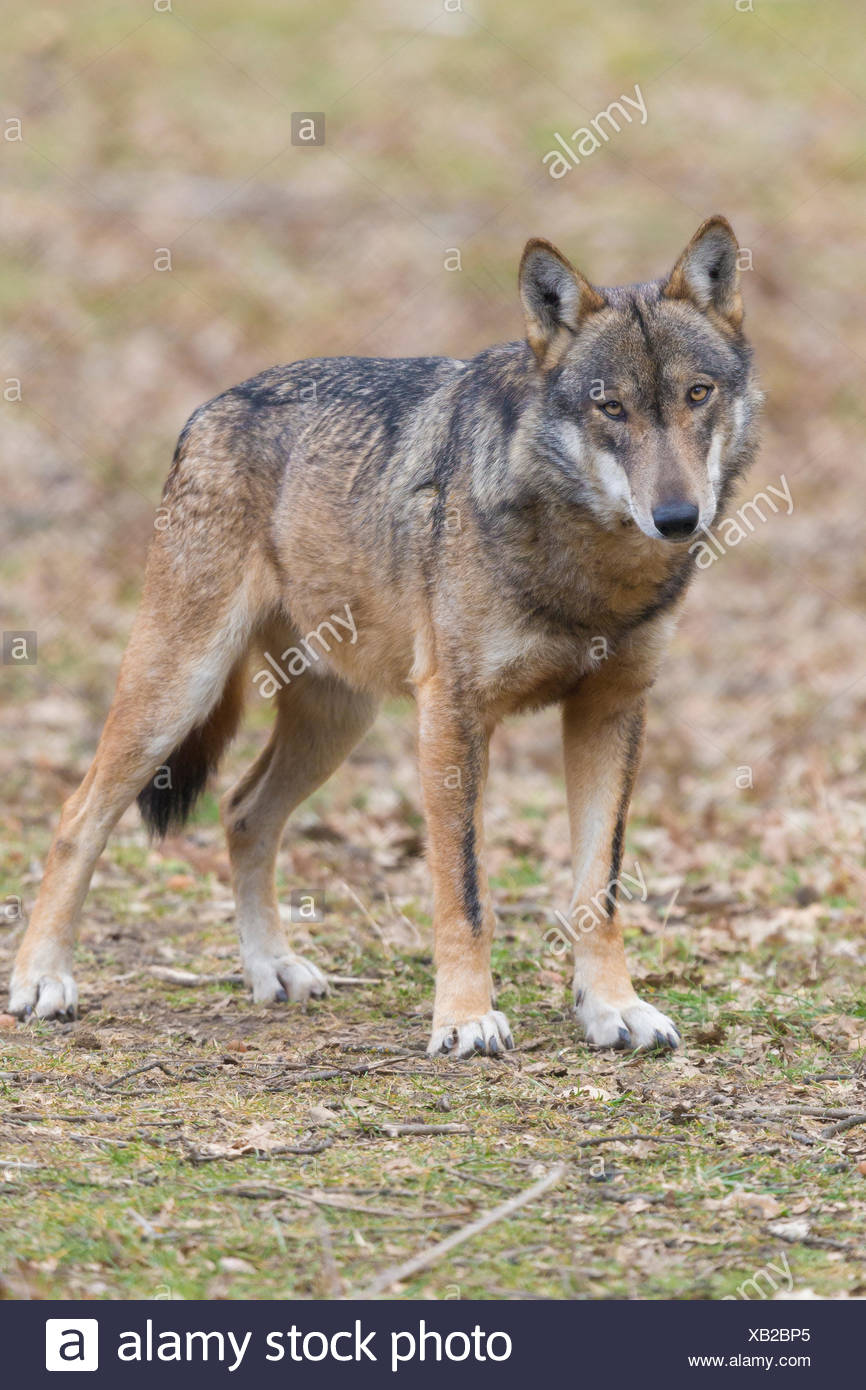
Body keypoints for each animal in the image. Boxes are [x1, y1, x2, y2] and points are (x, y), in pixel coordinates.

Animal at [8, 216, 760, 1056]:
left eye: (697, 394)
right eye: (612, 408)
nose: (677, 517)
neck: (592, 566)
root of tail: (206, 411)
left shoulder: (612, 710)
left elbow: (600, 889)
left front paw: (611, 1008)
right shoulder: (453, 715)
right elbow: (465, 890)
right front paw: (465, 1019)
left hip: (336, 721)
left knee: (242, 812)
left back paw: (272, 969)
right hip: (177, 691)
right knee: (77, 817)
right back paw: (42, 981)